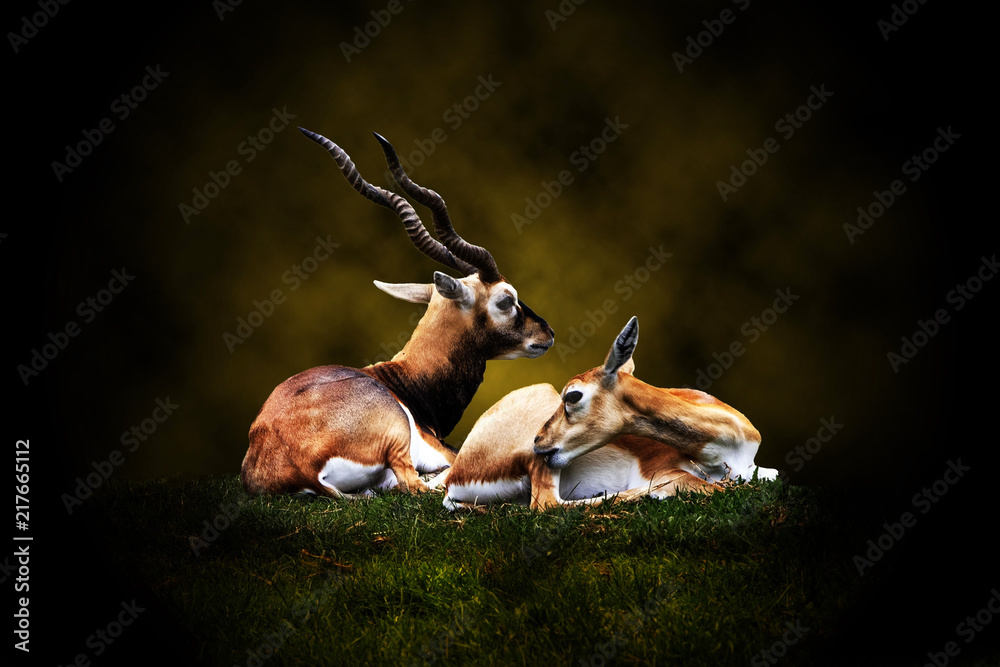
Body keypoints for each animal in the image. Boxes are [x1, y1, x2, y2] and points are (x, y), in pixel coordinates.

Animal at [241, 129, 554, 498]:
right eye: (507, 299)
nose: (547, 333)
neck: (406, 382)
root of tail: (297, 464)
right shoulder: (441, 448)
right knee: (418, 483)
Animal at [442, 316, 777, 510]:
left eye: (573, 395)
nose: (539, 441)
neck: (731, 443)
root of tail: (458, 473)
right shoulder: (663, 469)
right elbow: (707, 486)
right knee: (548, 504)